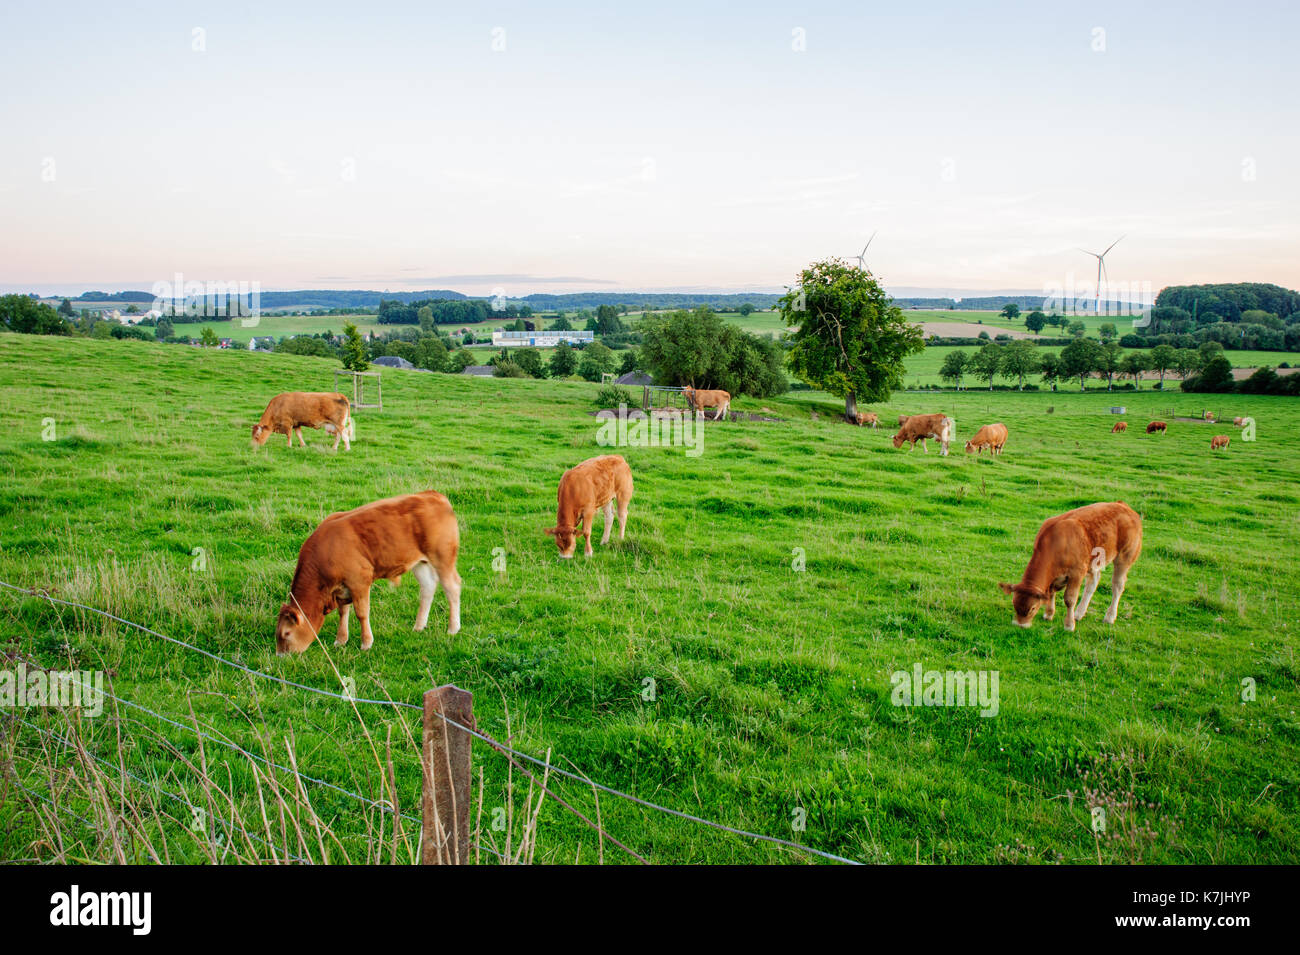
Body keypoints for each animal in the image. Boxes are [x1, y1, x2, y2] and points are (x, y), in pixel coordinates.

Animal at [274, 491, 461, 654]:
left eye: (286, 633)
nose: (280, 656)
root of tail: (432, 494)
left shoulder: (359, 581)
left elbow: (362, 614)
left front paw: (366, 643)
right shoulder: (341, 588)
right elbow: (343, 612)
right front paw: (341, 640)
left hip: (443, 558)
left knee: (452, 587)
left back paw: (453, 628)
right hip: (420, 562)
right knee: (428, 587)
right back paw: (419, 626)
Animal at [999, 502, 1142, 632]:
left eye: (1032, 608)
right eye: (1014, 603)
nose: (1020, 625)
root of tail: (1123, 505)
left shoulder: (1077, 573)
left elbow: (1069, 599)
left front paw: (1069, 625)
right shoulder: (1054, 576)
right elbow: (1051, 593)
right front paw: (1049, 614)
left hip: (1125, 556)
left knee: (1118, 586)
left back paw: (1109, 617)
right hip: (1093, 563)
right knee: (1092, 584)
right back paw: (1078, 614)